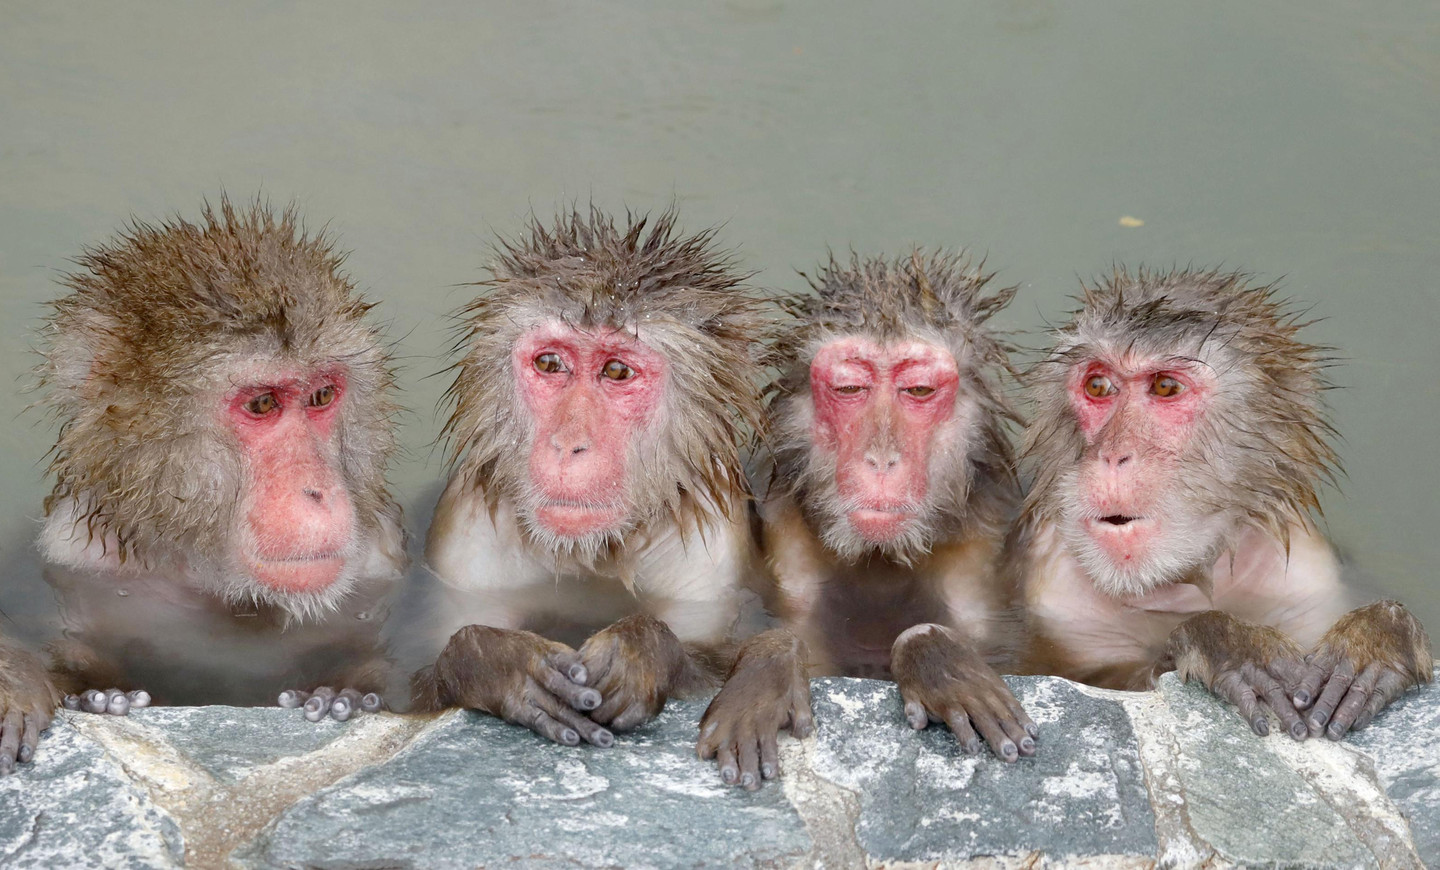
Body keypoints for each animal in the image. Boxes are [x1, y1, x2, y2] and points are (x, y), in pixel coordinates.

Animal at [8, 197, 409, 756]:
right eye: (262, 404)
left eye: (322, 396)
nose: (318, 492)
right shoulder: (73, 557)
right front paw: (90, 692)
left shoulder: (378, 560)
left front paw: (343, 693)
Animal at [411, 207, 770, 752]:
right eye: (549, 363)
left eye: (617, 371)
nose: (568, 443)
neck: (593, 551)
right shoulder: (464, 534)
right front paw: (501, 663)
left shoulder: (714, 548)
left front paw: (640, 652)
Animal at [698, 251, 1038, 791]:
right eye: (850, 388)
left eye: (918, 389)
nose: (880, 458)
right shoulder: (783, 542)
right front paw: (769, 668)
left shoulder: (984, 550)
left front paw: (936, 659)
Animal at [1011, 267, 1432, 741]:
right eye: (1098, 386)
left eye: (1166, 386)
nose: (1114, 455)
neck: (1174, 584)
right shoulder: (1054, 591)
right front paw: (1223, 642)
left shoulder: (1308, 574)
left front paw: (1377, 638)